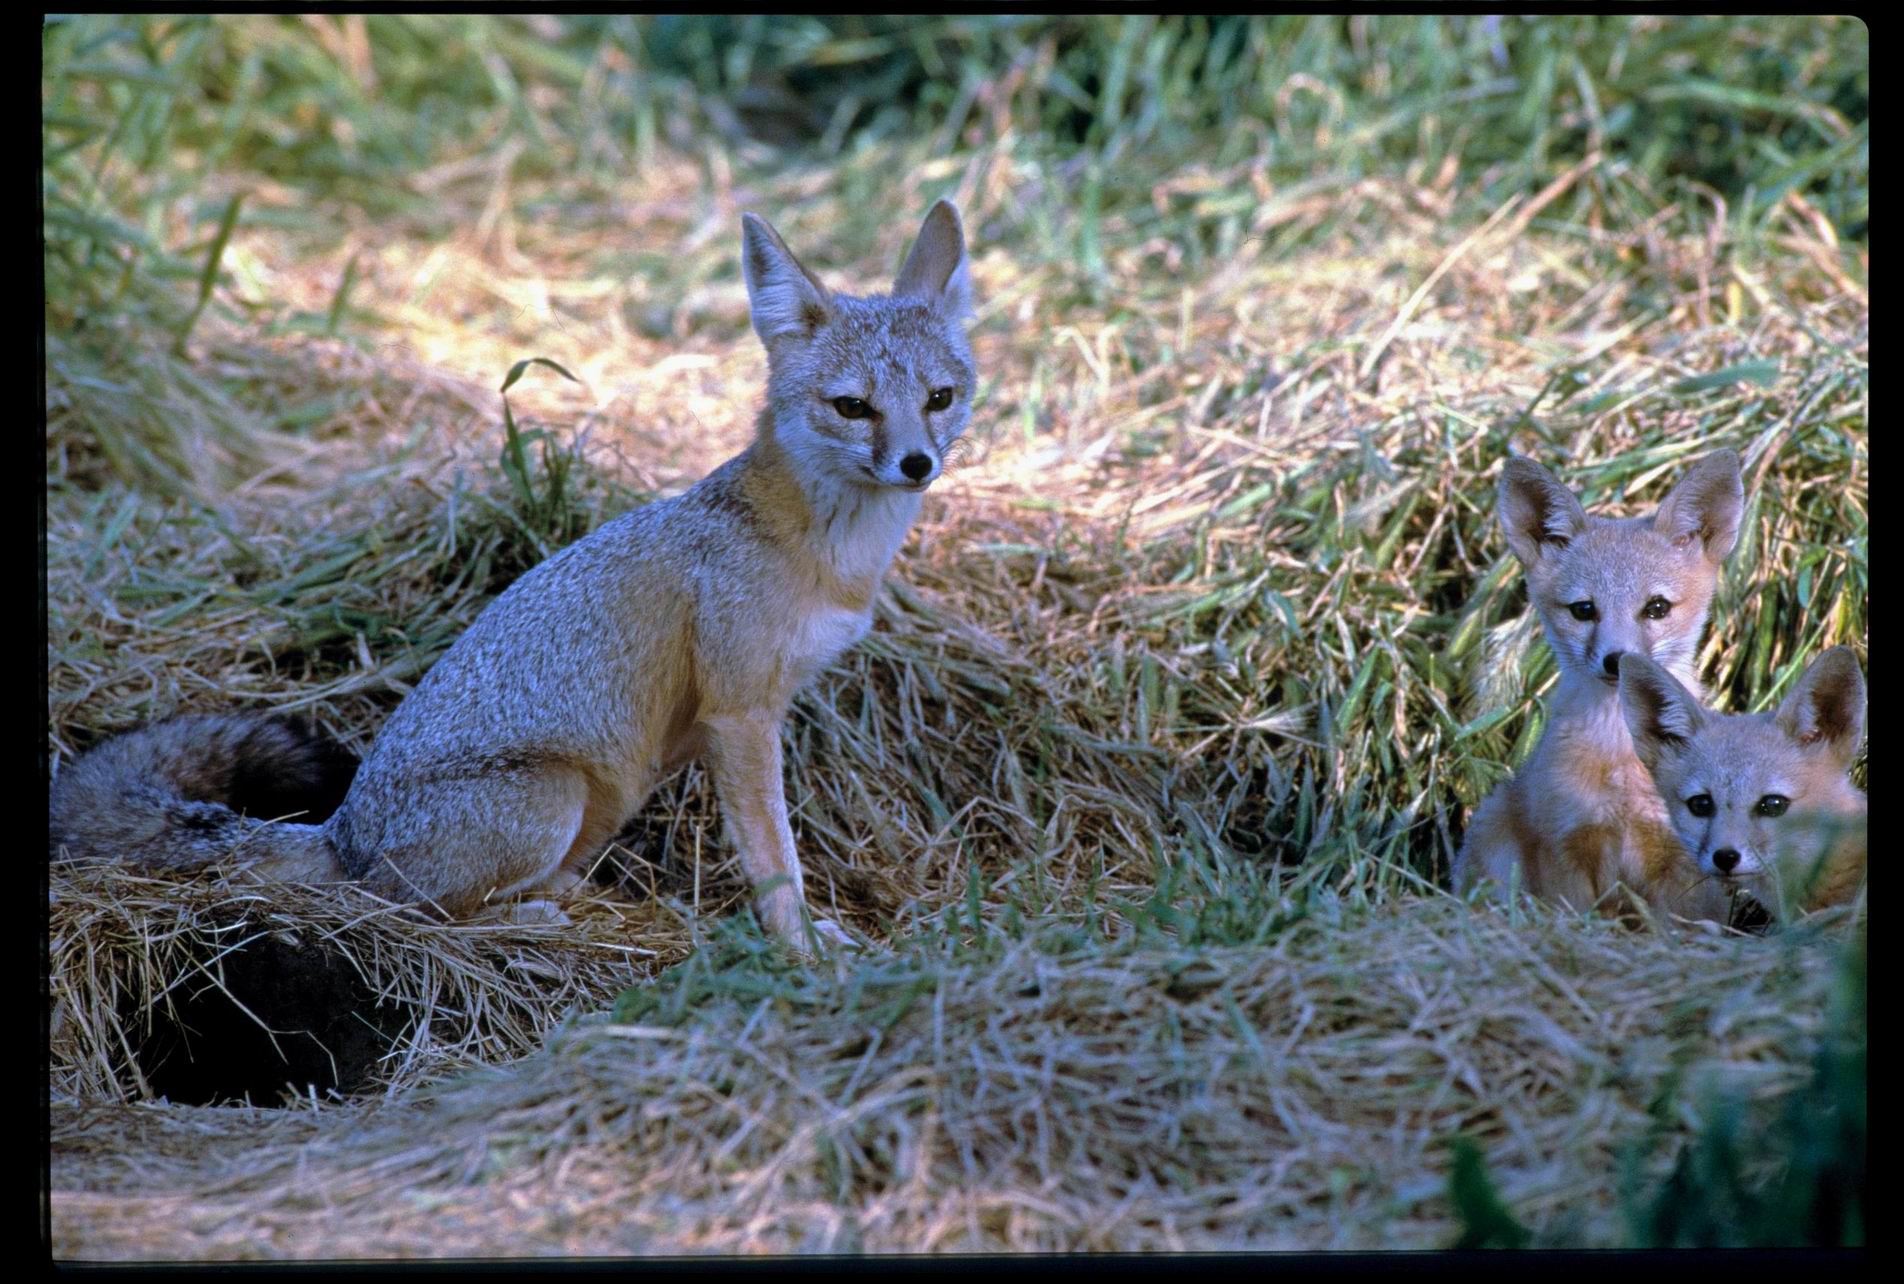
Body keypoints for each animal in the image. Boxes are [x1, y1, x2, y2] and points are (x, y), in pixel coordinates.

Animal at [49, 200, 979, 954]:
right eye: (853, 407)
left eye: (939, 397)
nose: (916, 464)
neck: (827, 553)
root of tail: (346, 833)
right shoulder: (742, 715)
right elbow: (774, 856)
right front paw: (800, 948)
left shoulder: (749, 713)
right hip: (553, 796)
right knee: (407, 909)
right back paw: (525, 917)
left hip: (606, 798)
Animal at [1452, 449, 1745, 921]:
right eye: (1583, 610)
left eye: (1656, 607)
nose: (1617, 659)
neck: (1621, 763)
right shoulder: (1566, 848)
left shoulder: (1682, 866)